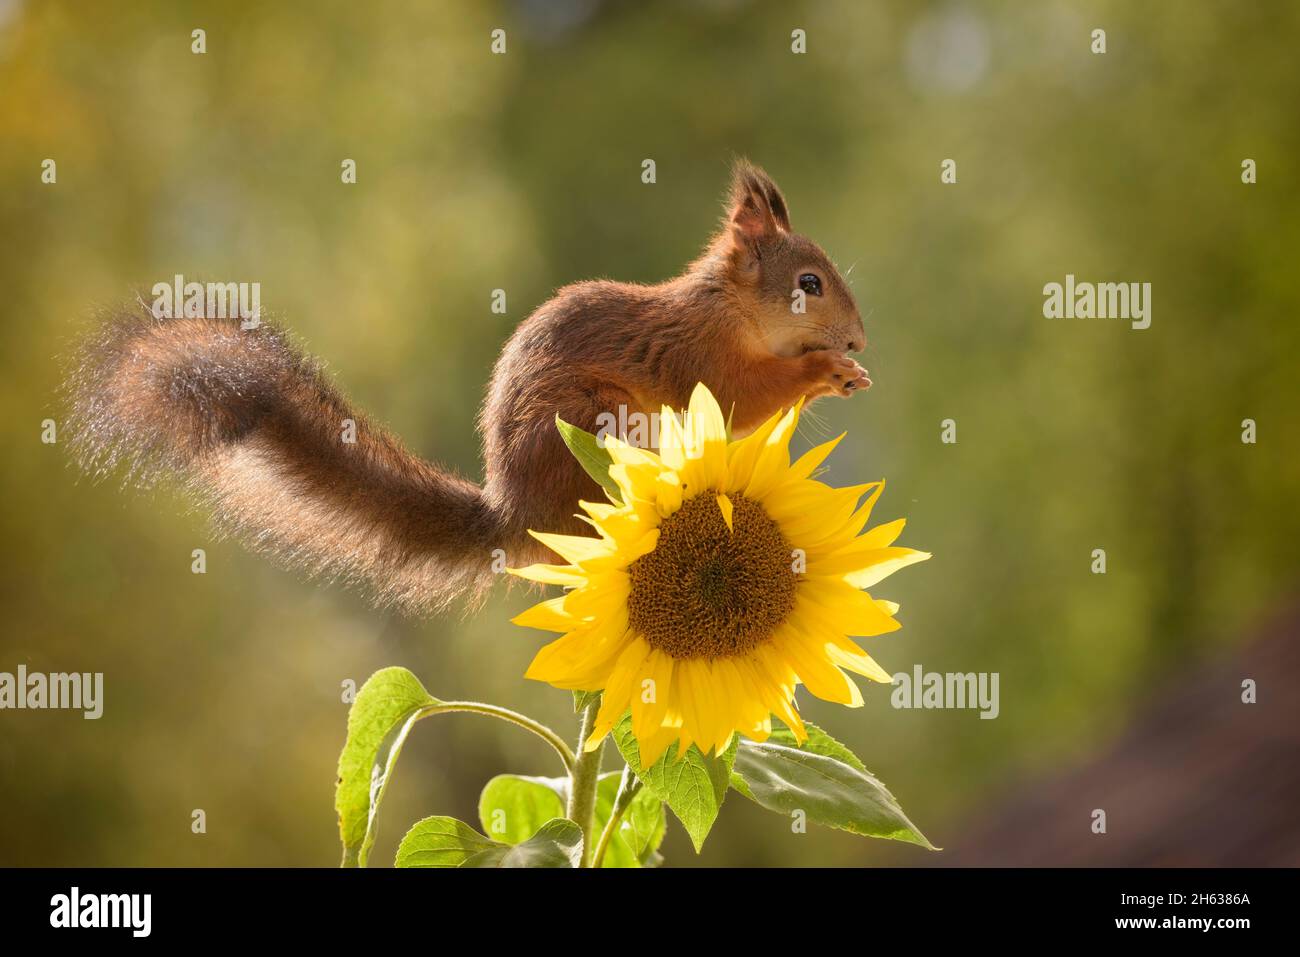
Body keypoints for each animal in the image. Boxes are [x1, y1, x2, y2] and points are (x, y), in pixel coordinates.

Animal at [66, 159, 870, 614]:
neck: (728, 307)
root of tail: (514, 519)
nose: (860, 341)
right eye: (808, 284)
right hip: (594, 426)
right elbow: (742, 397)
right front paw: (824, 372)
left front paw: (849, 375)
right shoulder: (695, 355)